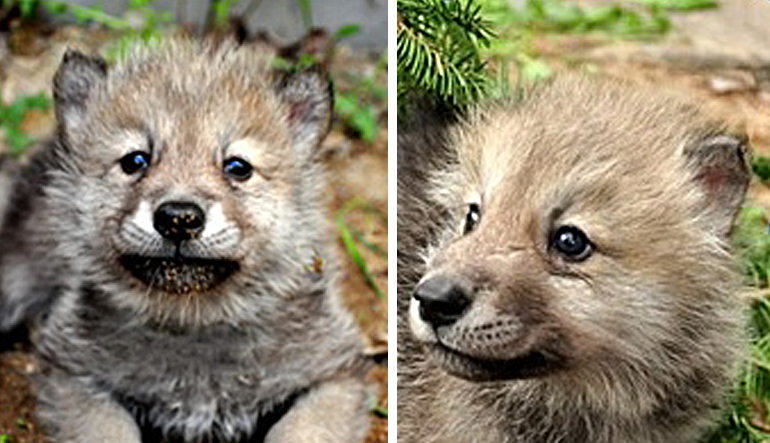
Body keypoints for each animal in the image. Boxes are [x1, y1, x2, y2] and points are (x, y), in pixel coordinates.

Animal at [0, 40, 369, 443]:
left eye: (237, 167)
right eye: (135, 161)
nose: (178, 219)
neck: (195, 321)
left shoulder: (334, 375)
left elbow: (300, 431)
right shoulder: (76, 374)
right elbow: (110, 430)